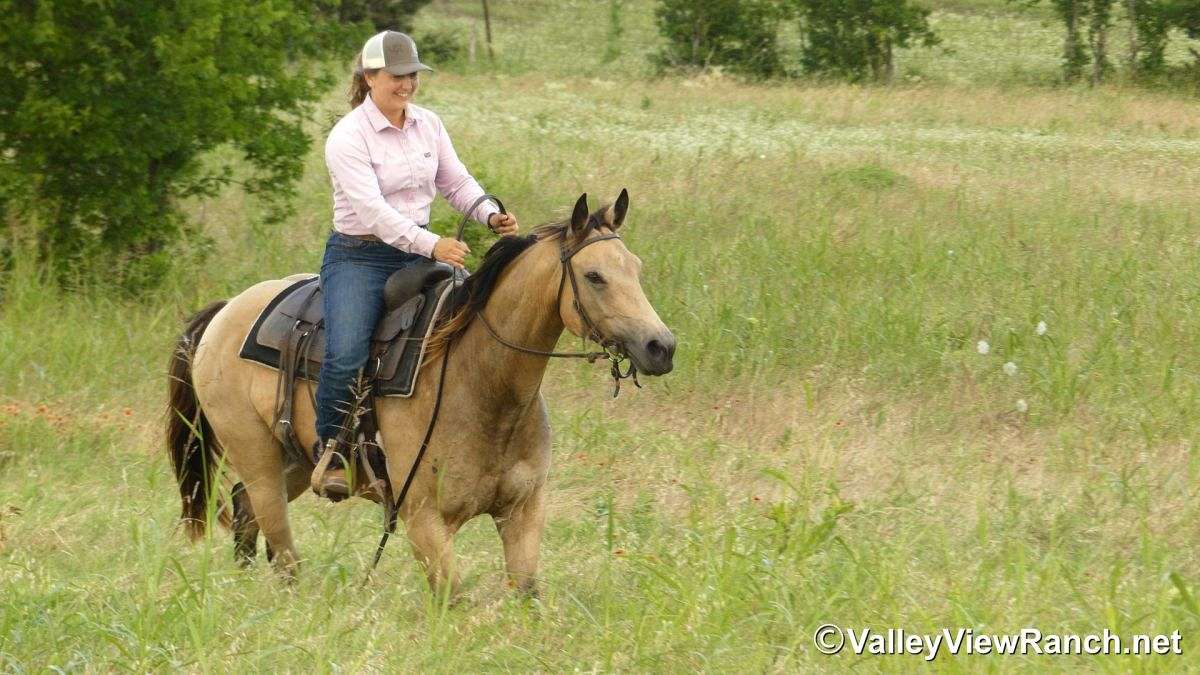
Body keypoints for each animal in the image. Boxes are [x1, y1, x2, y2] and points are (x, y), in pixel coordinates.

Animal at [165, 191, 676, 595]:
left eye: (636, 268)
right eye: (594, 276)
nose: (661, 346)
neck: (482, 385)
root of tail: (226, 311)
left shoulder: (523, 512)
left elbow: (526, 592)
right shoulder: (425, 522)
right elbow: (453, 598)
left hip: (297, 460)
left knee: (244, 508)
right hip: (258, 457)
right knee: (280, 543)